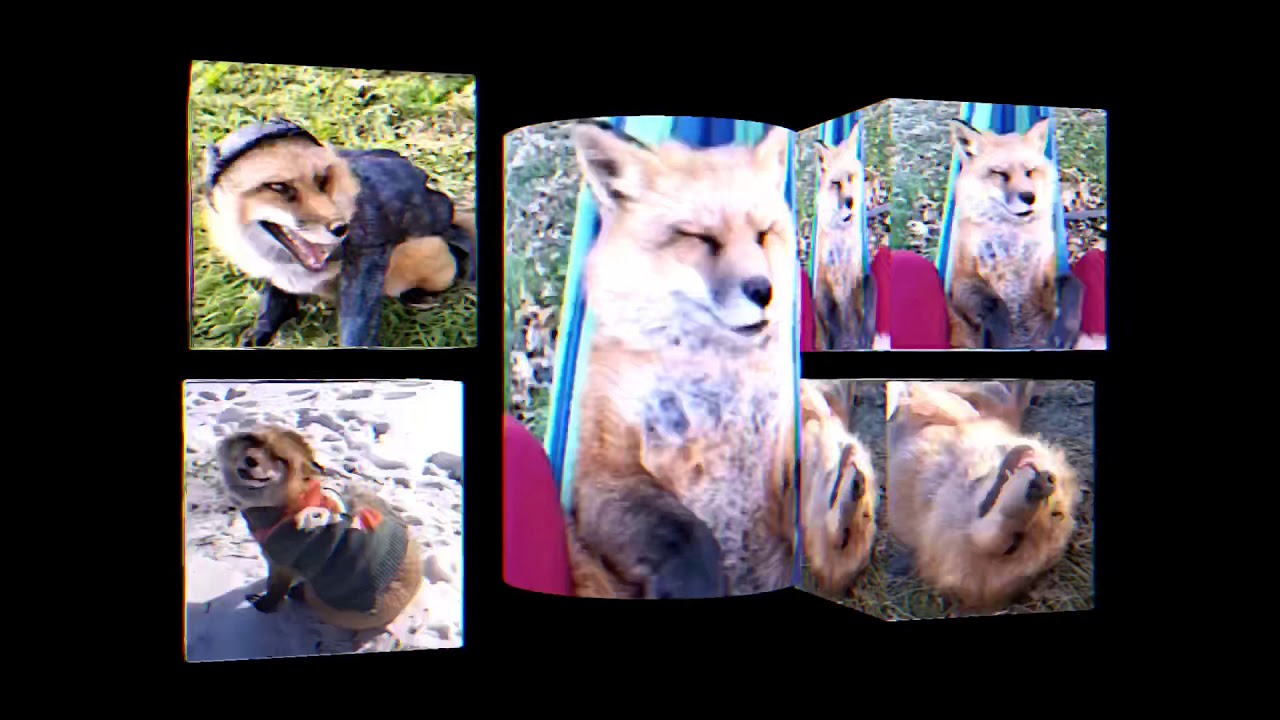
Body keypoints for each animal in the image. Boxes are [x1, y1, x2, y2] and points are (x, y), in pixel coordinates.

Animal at [200, 118, 476, 347]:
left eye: (322, 180)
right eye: (278, 187)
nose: (342, 228)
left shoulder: (366, 259)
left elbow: (357, 328)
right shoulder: (274, 273)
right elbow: (274, 303)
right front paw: (263, 329)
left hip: (417, 253)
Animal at [216, 427, 424, 630]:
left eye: (280, 459)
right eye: (254, 440)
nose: (251, 460)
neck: (288, 507)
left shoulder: (283, 561)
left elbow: (274, 591)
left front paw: (263, 608)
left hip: (325, 600)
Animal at [946, 119, 1084, 349]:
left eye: (1030, 172)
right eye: (1000, 174)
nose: (1030, 197)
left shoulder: (1045, 272)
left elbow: (1073, 285)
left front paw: (1065, 330)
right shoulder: (962, 280)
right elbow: (994, 304)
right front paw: (1002, 337)